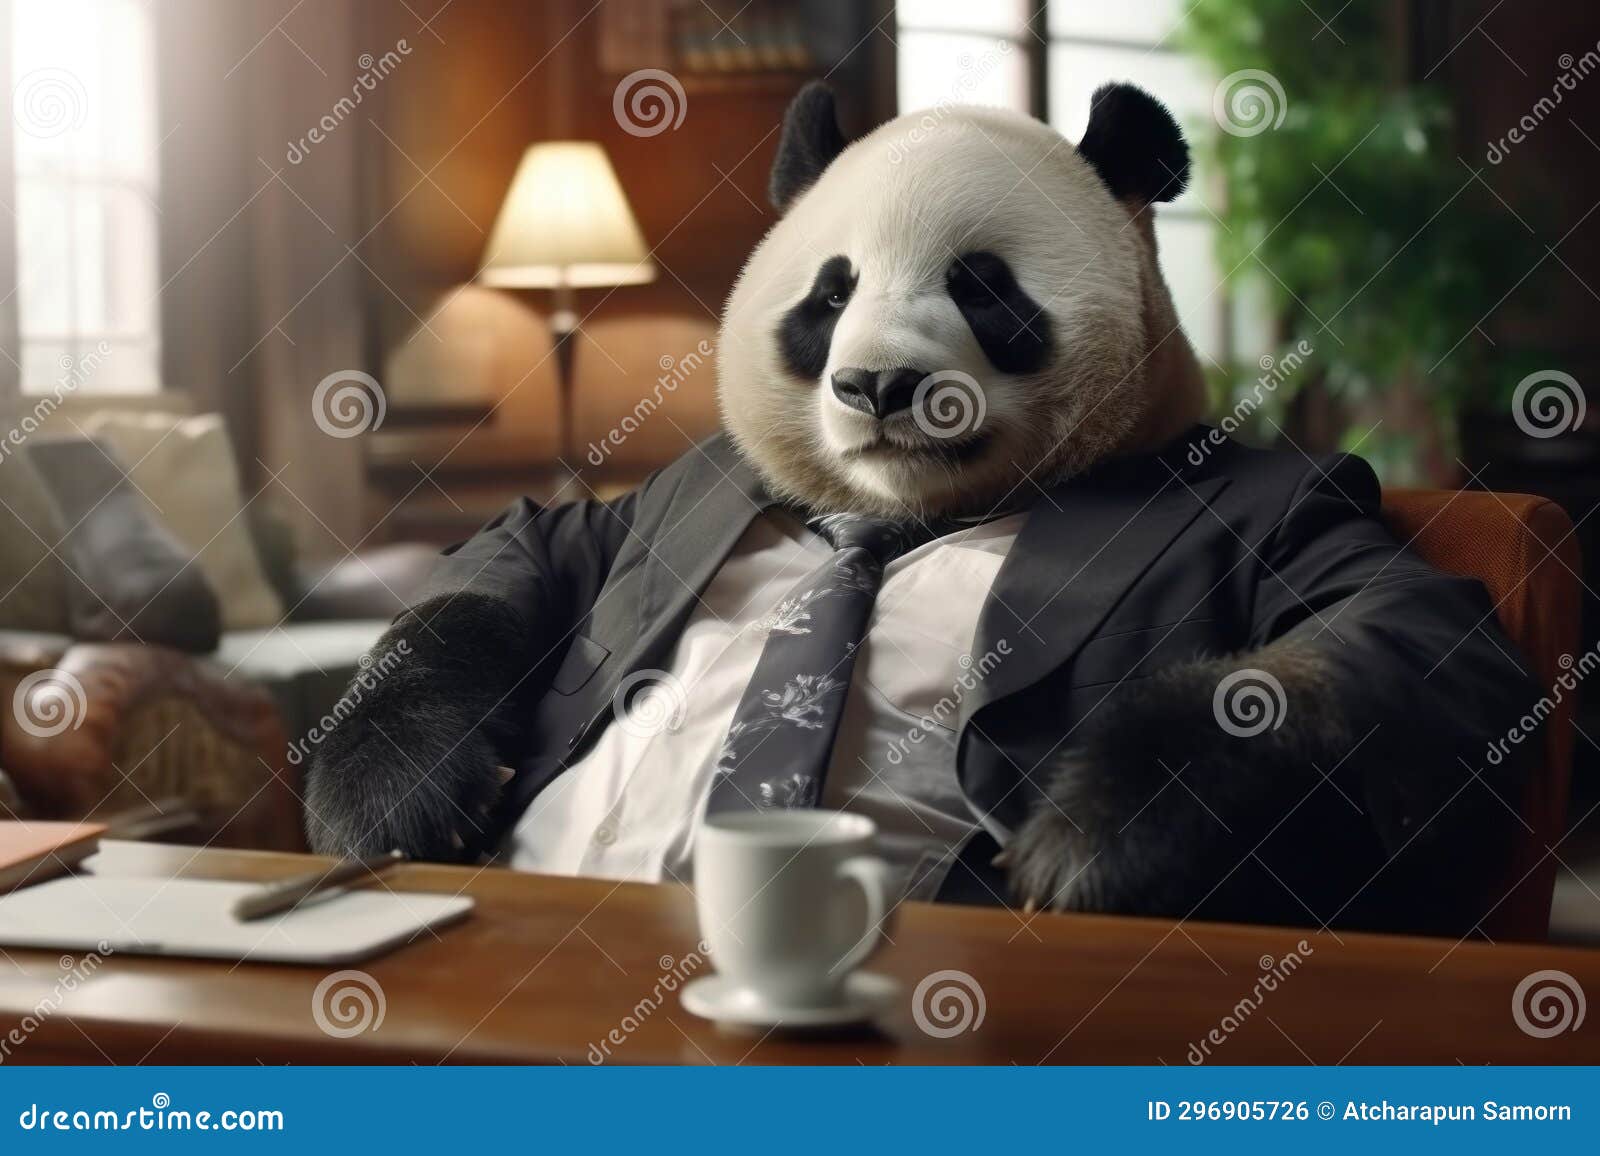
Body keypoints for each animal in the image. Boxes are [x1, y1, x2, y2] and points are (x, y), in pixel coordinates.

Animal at [305, 82, 1539, 934]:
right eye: (830, 293)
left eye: (984, 288)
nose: (879, 386)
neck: (902, 513)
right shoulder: (660, 502)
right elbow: (510, 553)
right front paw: (396, 805)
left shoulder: (1297, 512)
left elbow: (1387, 630)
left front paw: (1100, 843)